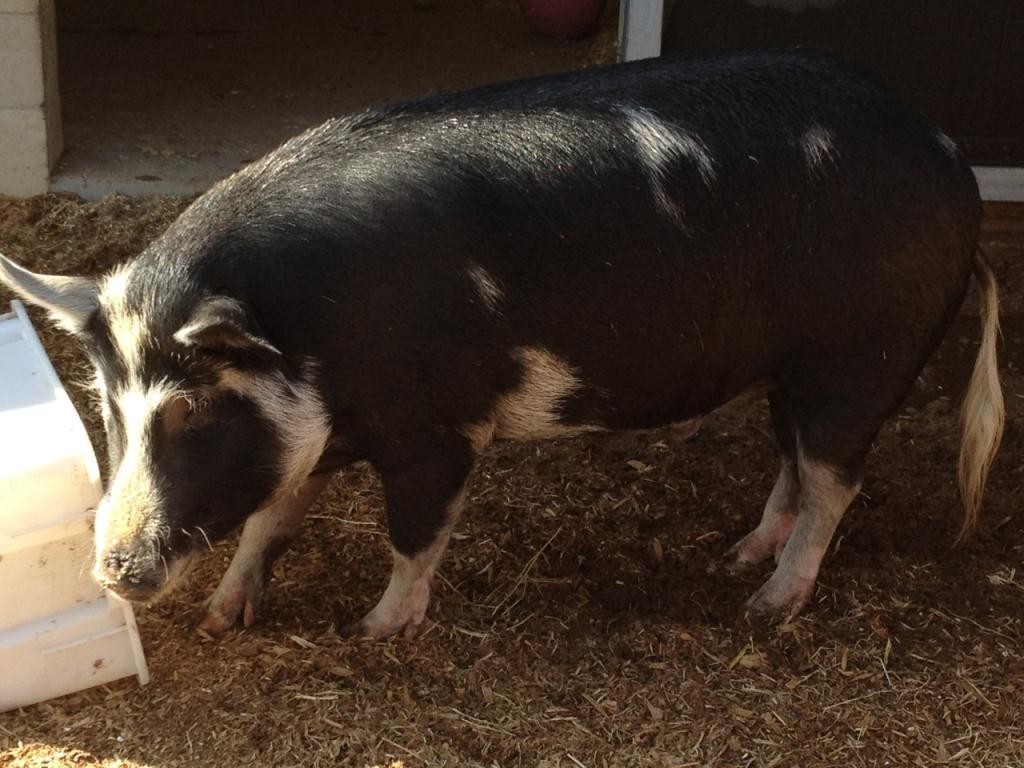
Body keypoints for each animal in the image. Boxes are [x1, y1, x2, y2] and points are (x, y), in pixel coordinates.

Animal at [0, 49, 1003, 639]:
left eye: (195, 408)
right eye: (110, 411)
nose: (114, 570)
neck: (313, 329)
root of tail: (951, 159)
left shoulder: (437, 428)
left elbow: (415, 531)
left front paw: (377, 633)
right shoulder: (318, 432)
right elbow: (271, 515)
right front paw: (222, 618)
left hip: (860, 352)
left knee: (836, 479)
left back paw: (765, 607)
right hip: (790, 367)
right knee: (795, 463)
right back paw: (738, 558)